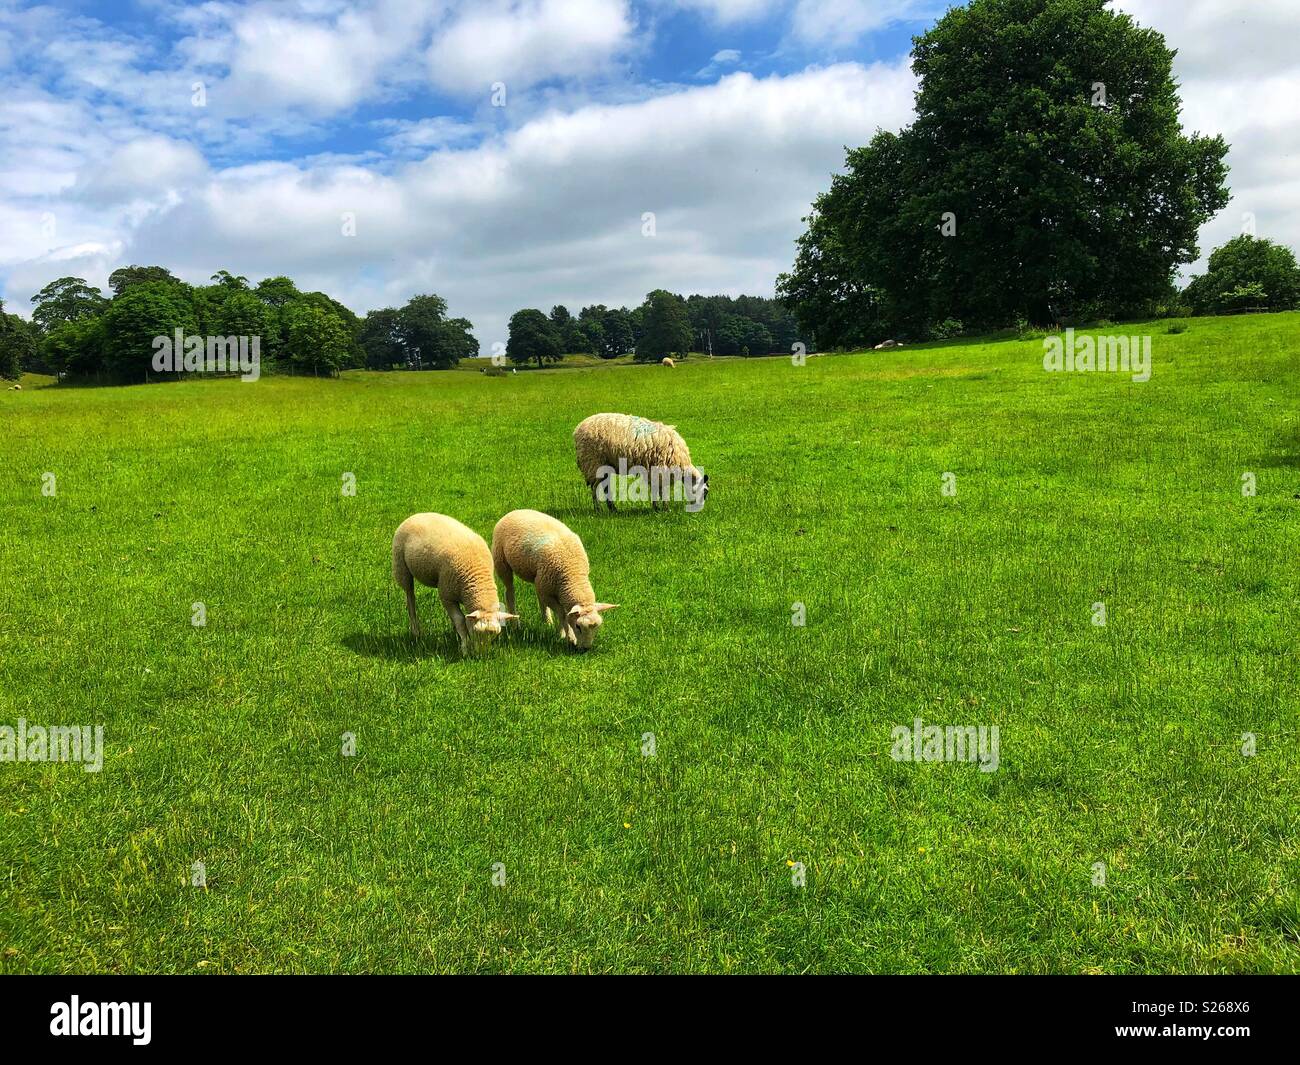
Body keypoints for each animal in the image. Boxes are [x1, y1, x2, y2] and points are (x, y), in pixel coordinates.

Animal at [391, 512, 516, 654]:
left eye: (495, 634)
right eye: (476, 631)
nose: (480, 655)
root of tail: (418, 514)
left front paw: (458, 637)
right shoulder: (447, 596)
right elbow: (460, 620)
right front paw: (465, 647)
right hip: (401, 568)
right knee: (410, 598)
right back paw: (416, 632)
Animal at [491, 509, 616, 651]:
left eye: (597, 628)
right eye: (578, 626)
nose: (585, 649)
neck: (573, 574)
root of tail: (515, 511)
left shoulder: (552, 588)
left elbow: (563, 613)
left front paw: (560, 632)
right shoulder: (548, 593)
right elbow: (562, 614)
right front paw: (567, 637)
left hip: (539, 579)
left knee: (538, 596)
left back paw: (547, 622)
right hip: (502, 562)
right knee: (510, 592)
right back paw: (516, 624)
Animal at [573, 412, 709, 511]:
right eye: (705, 491)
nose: (699, 508)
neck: (683, 465)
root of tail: (578, 429)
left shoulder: (654, 471)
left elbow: (655, 489)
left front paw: (656, 507)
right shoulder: (661, 470)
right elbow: (662, 491)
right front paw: (665, 509)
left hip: (603, 465)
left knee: (605, 487)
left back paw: (613, 508)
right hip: (593, 462)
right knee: (594, 487)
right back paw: (598, 509)